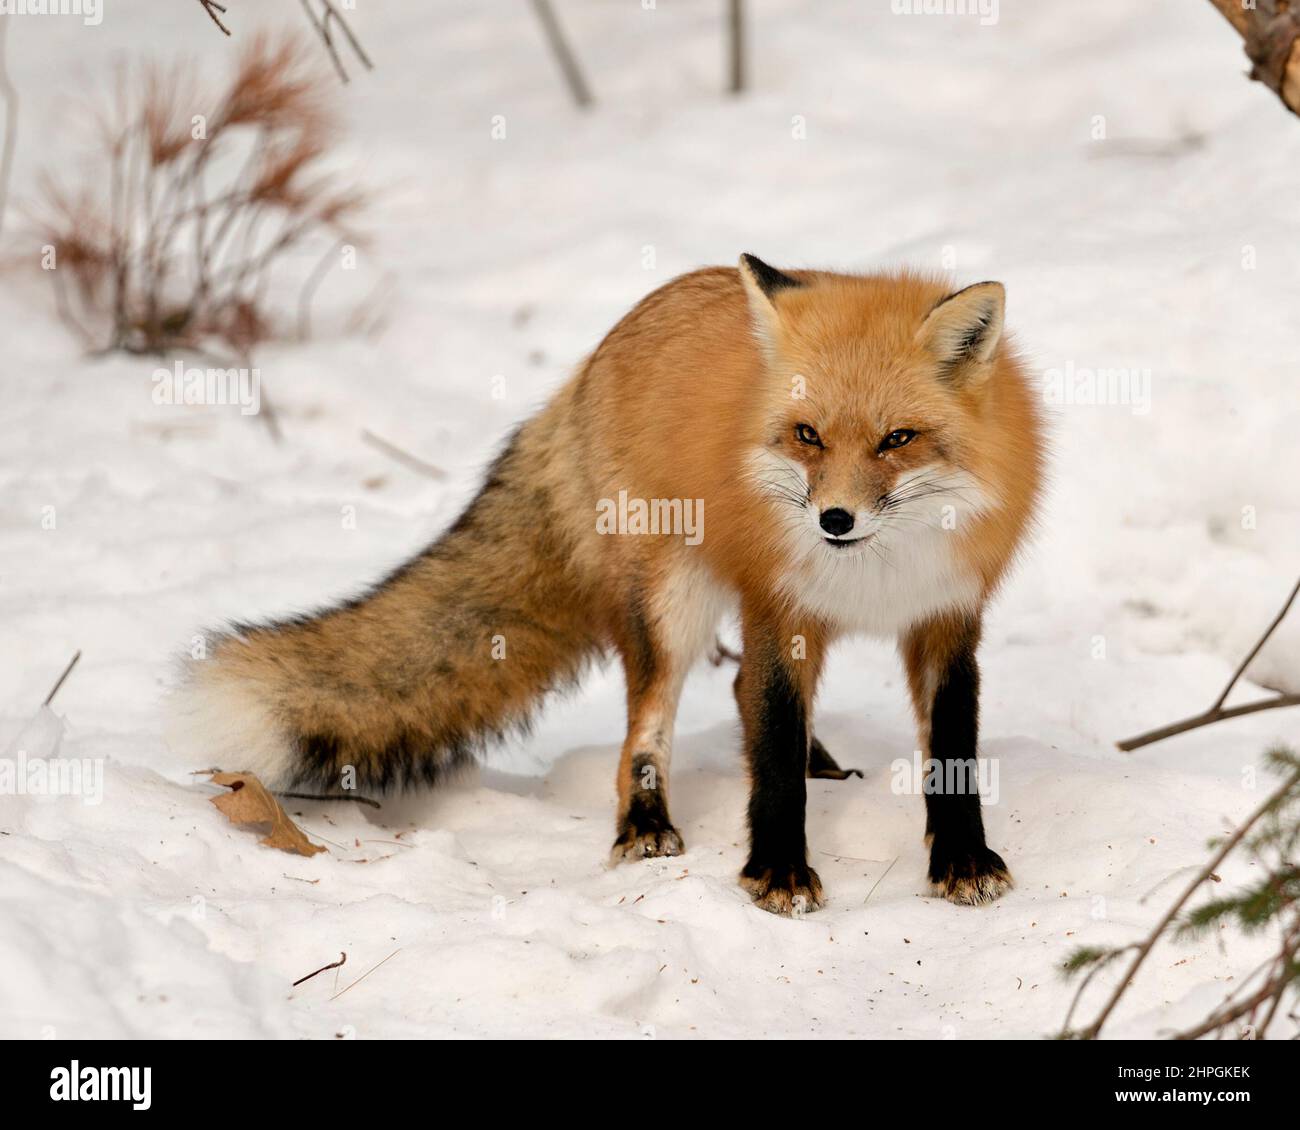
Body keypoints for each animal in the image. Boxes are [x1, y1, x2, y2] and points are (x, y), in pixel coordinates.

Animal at [168, 255, 1044, 915]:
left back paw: (819, 764)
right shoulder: (779, 611)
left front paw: (963, 862)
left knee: (735, 703)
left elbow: (951, 752)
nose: (833, 520)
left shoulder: (946, 618)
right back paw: (643, 829)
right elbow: (770, 757)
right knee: (645, 735)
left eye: (898, 440)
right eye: (808, 436)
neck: (876, 572)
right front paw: (778, 873)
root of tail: (601, 351)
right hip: (672, 607)